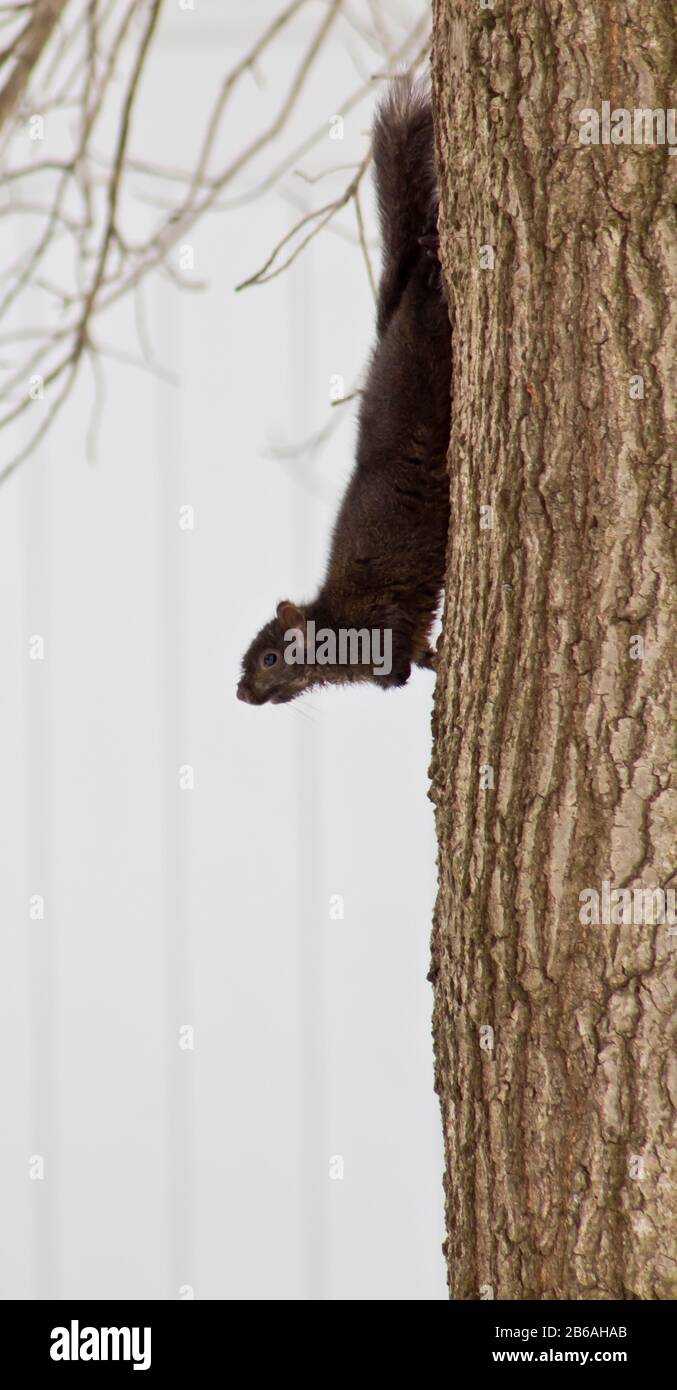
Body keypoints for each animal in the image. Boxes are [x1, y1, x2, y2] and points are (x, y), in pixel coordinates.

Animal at [237, 78, 451, 706]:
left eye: (268, 657)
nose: (241, 695)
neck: (336, 629)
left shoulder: (383, 622)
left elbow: (398, 655)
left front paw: (403, 674)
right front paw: (432, 663)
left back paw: (432, 259)